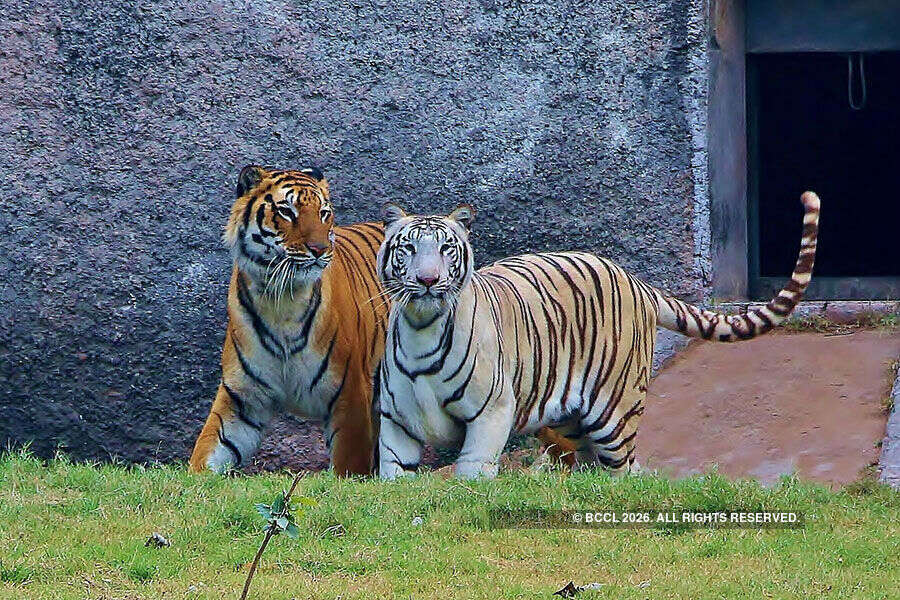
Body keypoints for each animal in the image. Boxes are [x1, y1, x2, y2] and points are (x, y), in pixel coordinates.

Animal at [188, 165, 388, 475]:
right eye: (287, 211)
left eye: (323, 213)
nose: (319, 249)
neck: (279, 299)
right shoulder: (241, 399)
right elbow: (206, 452)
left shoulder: (350, 392)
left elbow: (349, 466)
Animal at [375, 192, 820, 479]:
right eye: (408, 249)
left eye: (446, 248)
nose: (428, 280)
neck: (421, 326)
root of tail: (637, 281)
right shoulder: (396, 422)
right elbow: (394, 473)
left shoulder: (490, 412)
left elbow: (472, 470)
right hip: (571, 415)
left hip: (614, 413)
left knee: (625, 470)